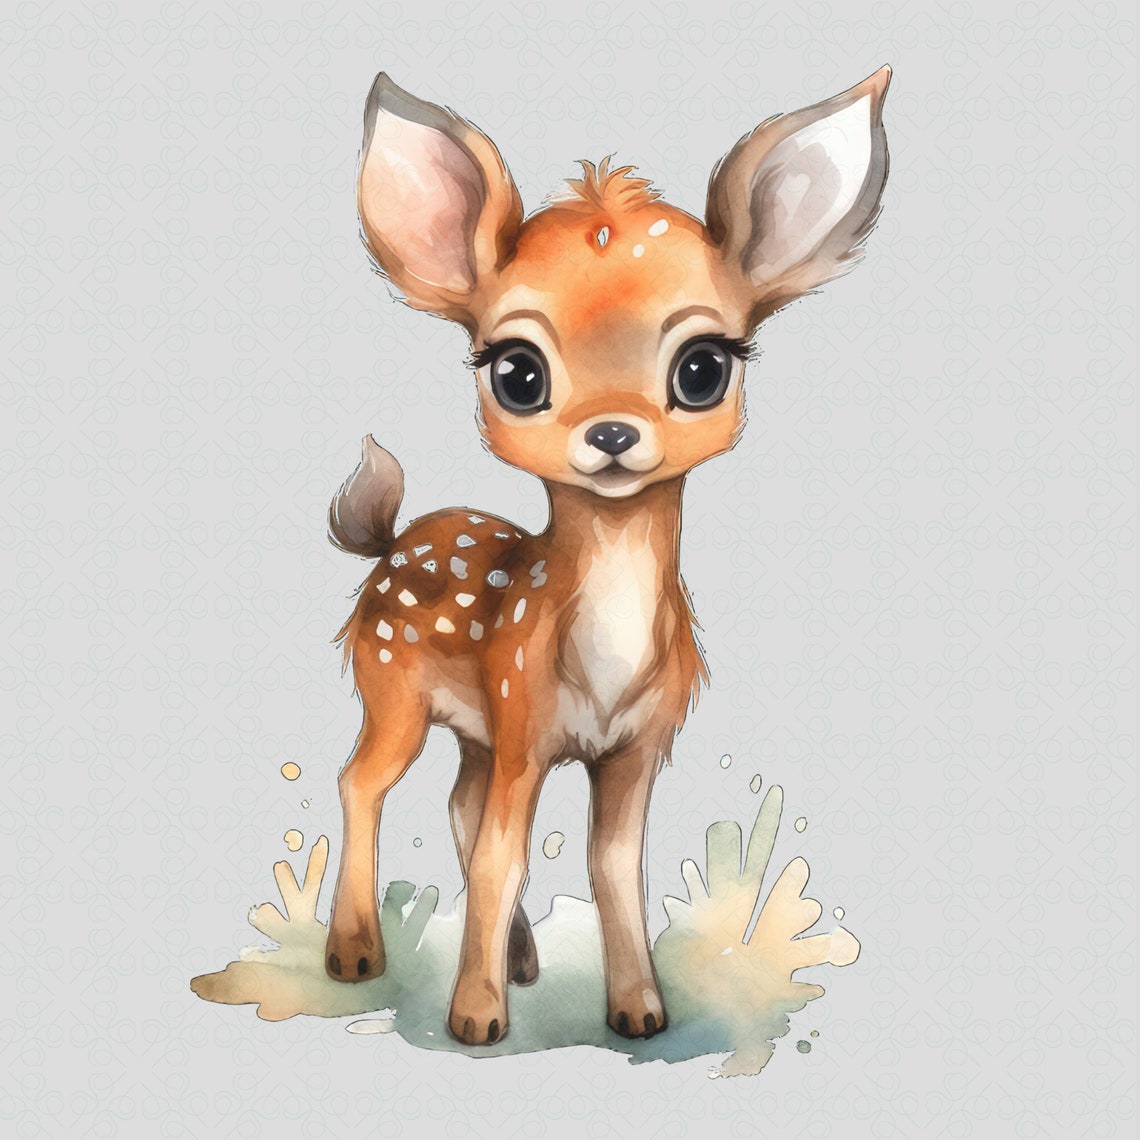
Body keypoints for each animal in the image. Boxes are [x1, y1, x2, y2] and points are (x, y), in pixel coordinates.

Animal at [323, 68, 891, 1047]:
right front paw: (477, 1021)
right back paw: (356, 954)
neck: (606, 666)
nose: (614, 433)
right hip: (393, 687)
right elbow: (507, 855)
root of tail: (391, 541)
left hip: (473, 727)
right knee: (365, 783)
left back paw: (517, 958)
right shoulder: (524, 724)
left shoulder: (633, 745)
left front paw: (638, 1011)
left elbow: (612, 863)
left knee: (457, 806)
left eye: (704, 366)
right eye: (516, 372)